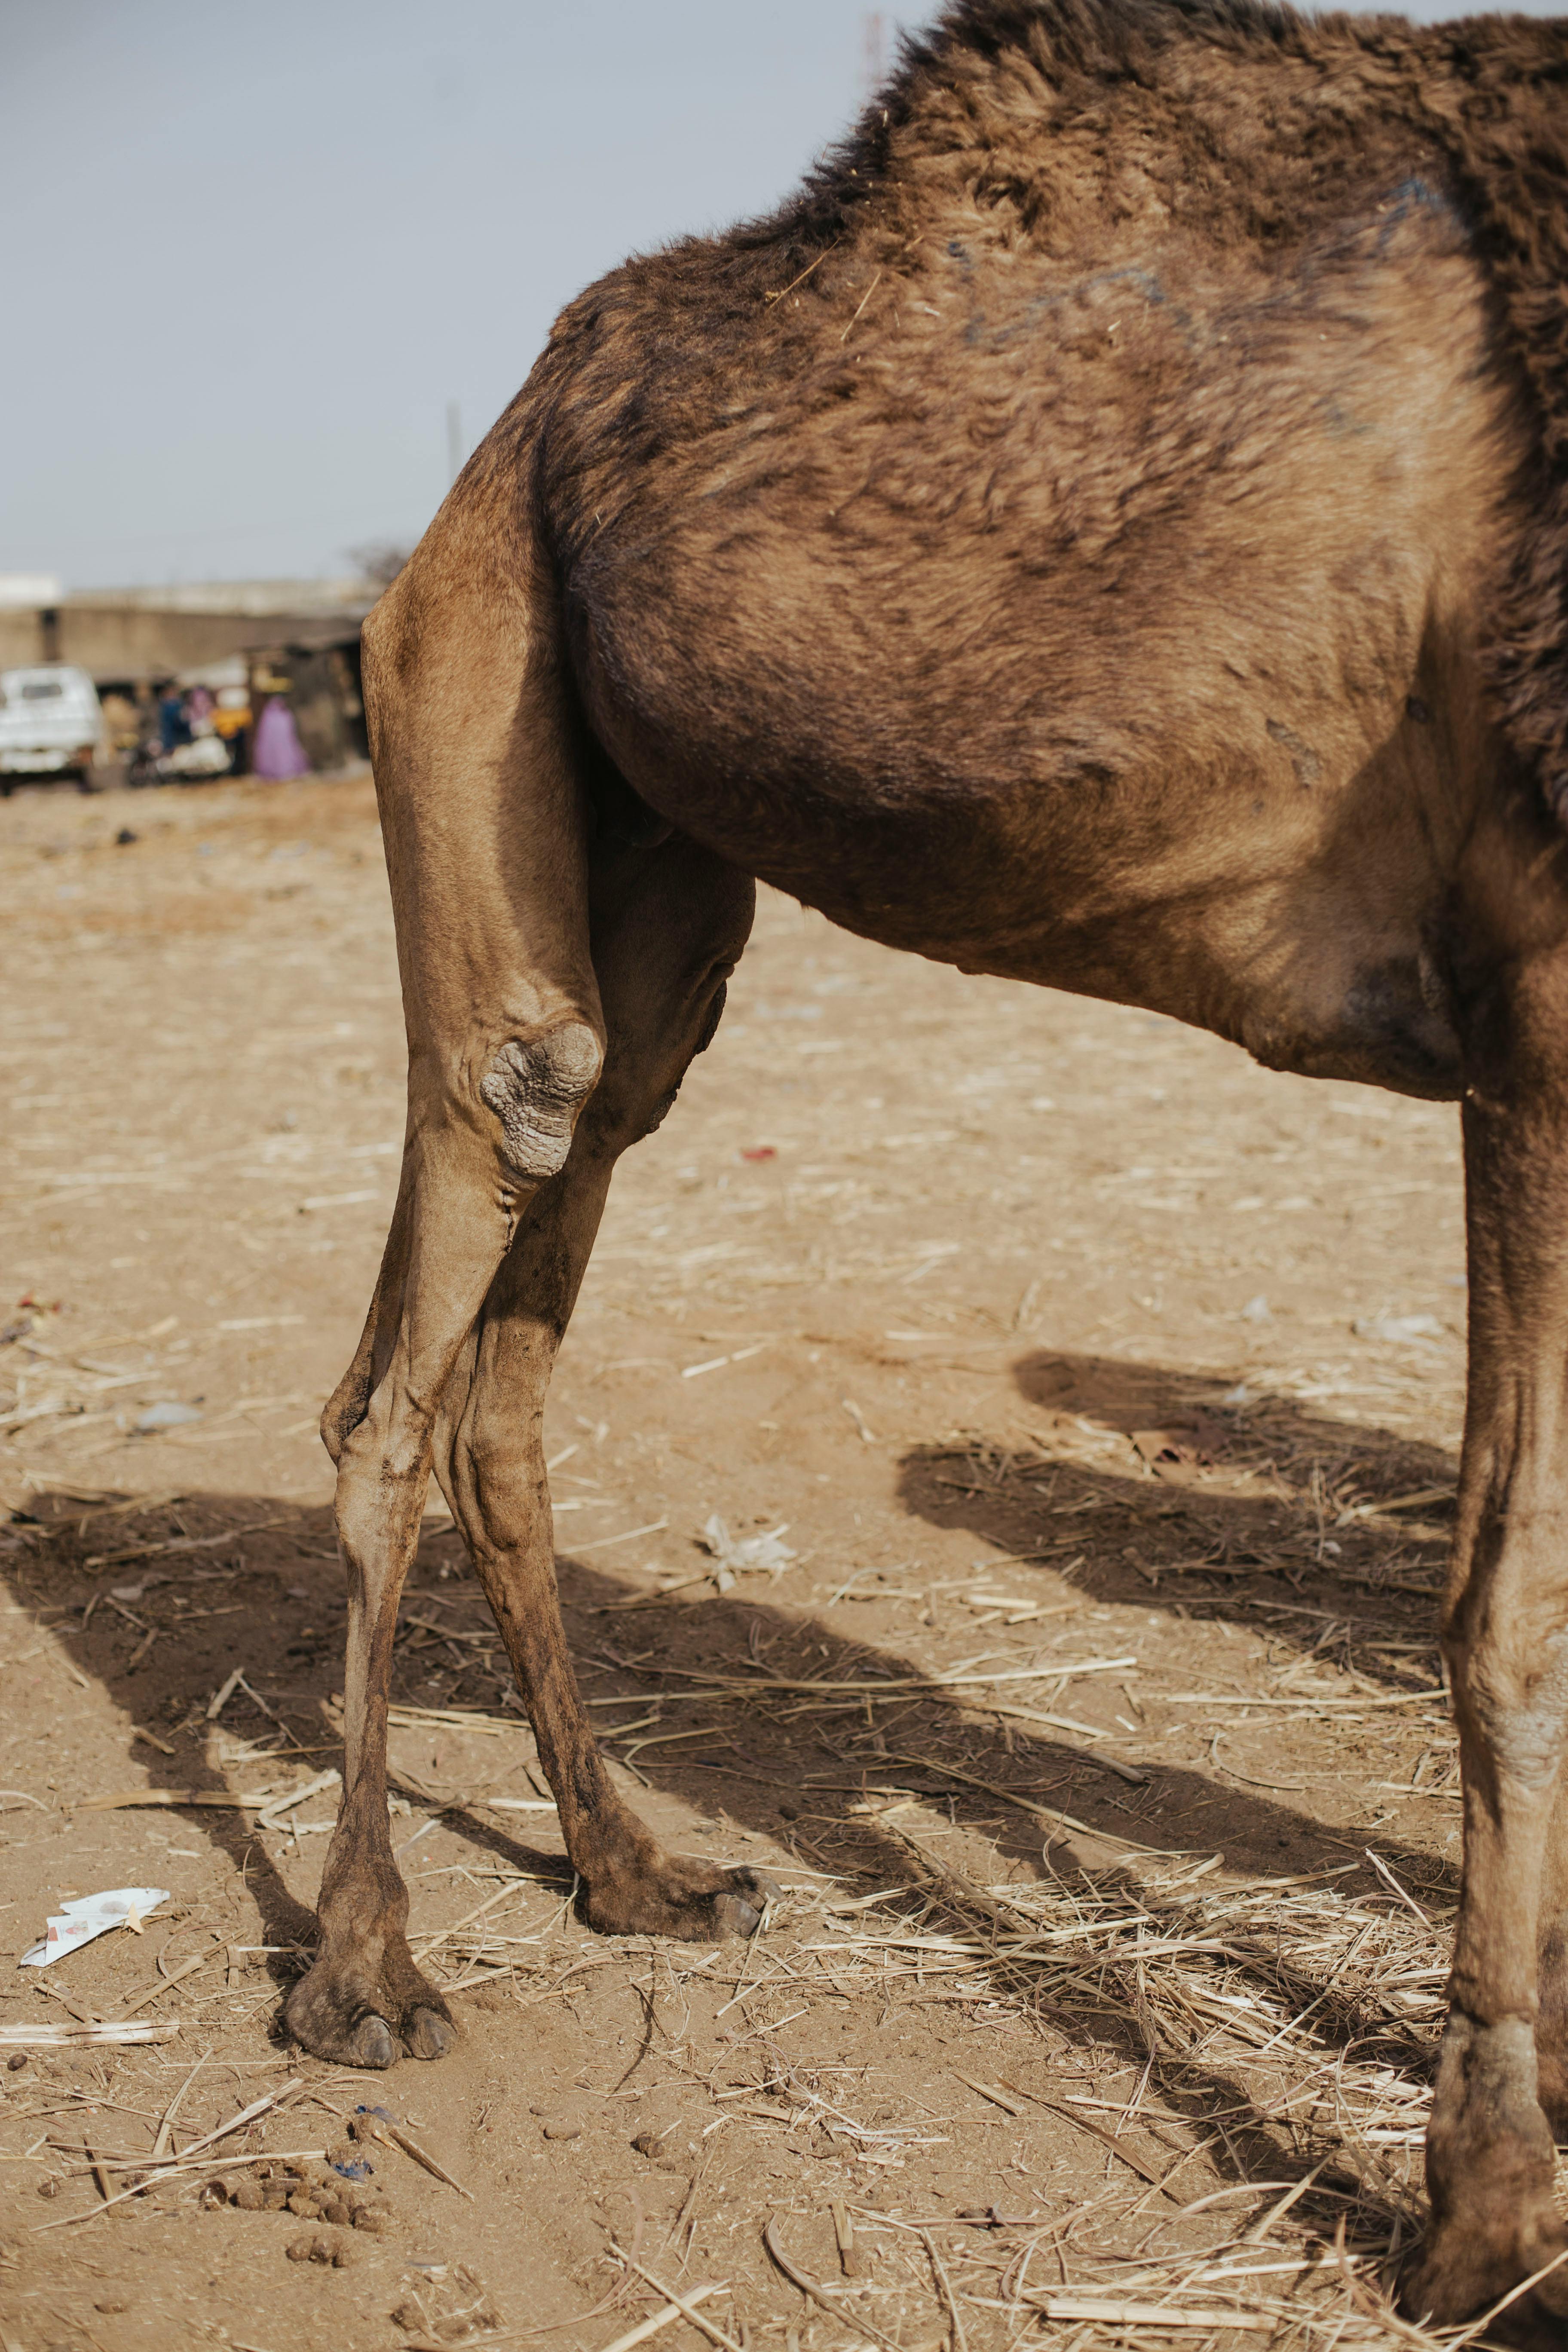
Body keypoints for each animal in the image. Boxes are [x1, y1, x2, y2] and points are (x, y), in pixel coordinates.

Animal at [285, 0, 1568, 2327]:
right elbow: (1511, 1589)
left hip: (647, 869)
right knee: (436, 1285)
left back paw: (636, 1866)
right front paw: (1491, 2205)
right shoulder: (1533, 969)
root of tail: (497, 434)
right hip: (461, 675)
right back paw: (366, 1966)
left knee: (518, 1335)